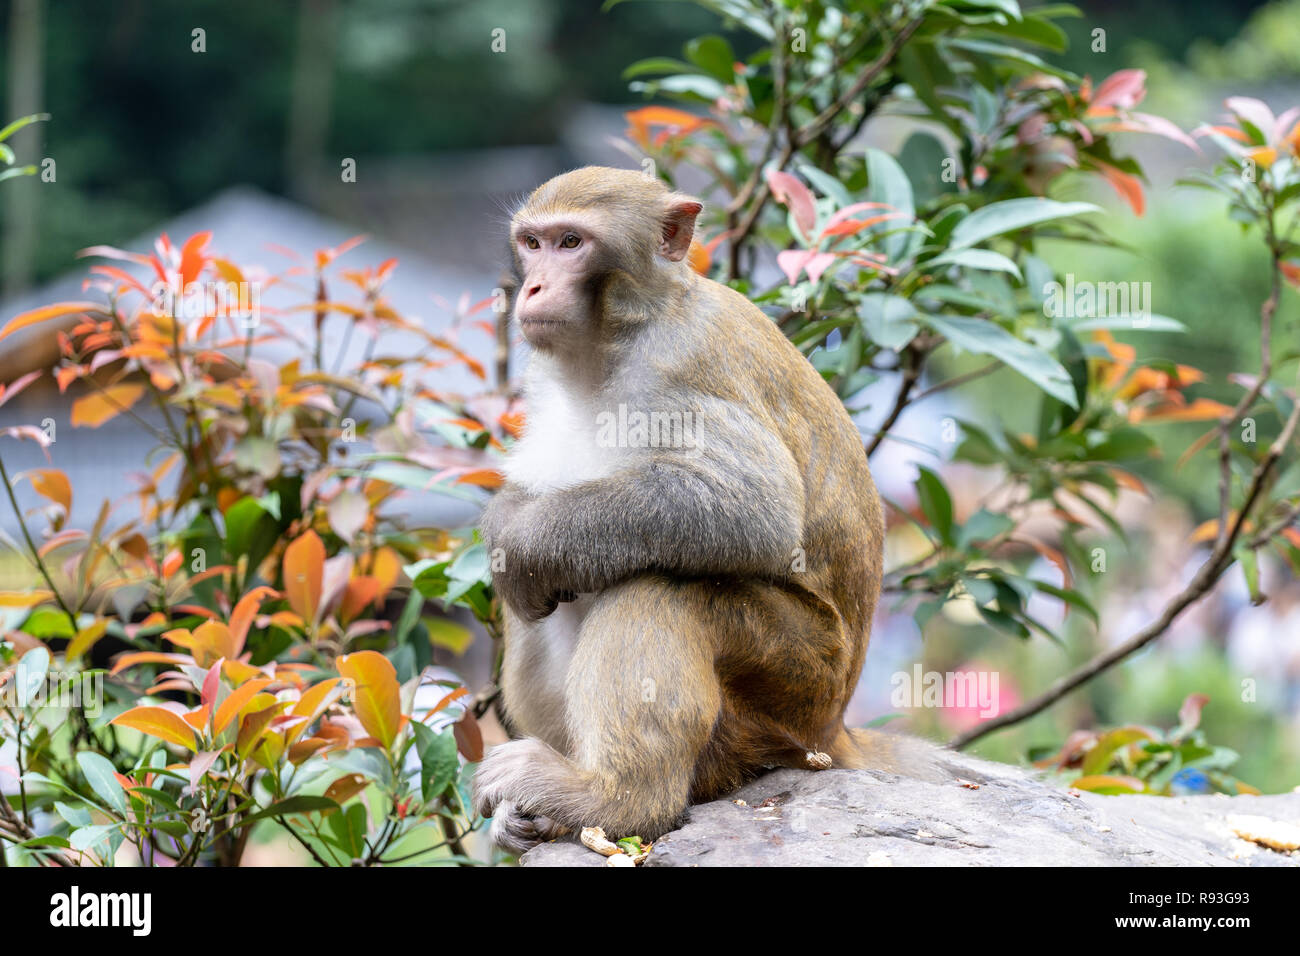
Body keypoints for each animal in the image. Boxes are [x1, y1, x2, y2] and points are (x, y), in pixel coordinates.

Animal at [473, 166, 931, 855]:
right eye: (532, 243)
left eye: (572, 243)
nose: (531, 286)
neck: (622, 331)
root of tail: (834, 729)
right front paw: (507, 520)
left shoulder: (678, 364)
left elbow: (753, 508)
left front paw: (523, 536)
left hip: (794, 686)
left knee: (665, 585)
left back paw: (615, 798)